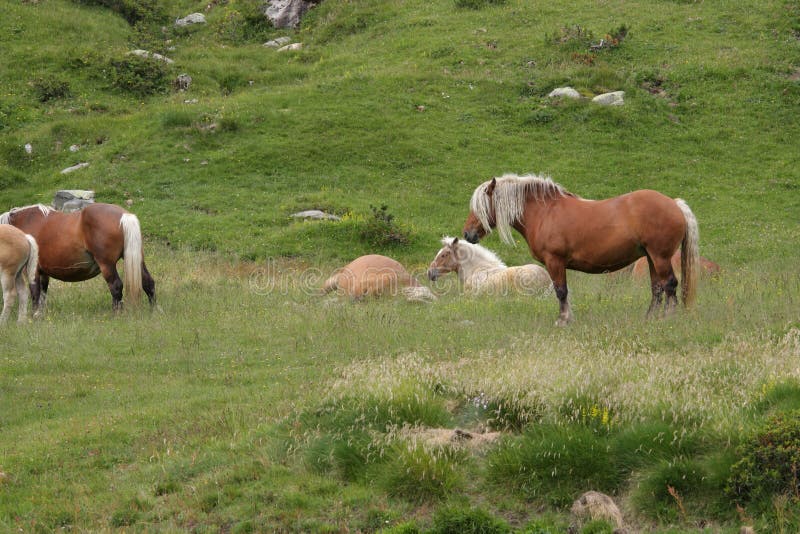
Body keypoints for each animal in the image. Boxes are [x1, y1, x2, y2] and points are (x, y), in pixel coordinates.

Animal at [0, 203, 156, 312]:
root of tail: (124, 215)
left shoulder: (34, 271)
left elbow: (35, 294)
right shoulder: (44, 273)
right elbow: (42, 295)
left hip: (107, 265)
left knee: (116, 286)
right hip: (138, 260)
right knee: (148, 283)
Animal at [462, 173, 699, 325]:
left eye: (480, 206)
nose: (467, 234)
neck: (545, 212)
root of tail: (675, 204)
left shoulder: (554, 261)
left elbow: (561, 291)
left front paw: (562, 320)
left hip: (660, 257)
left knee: (670, 285)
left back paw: (668, 318)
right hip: (651, 258)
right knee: (657, 288)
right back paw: (650, 318)